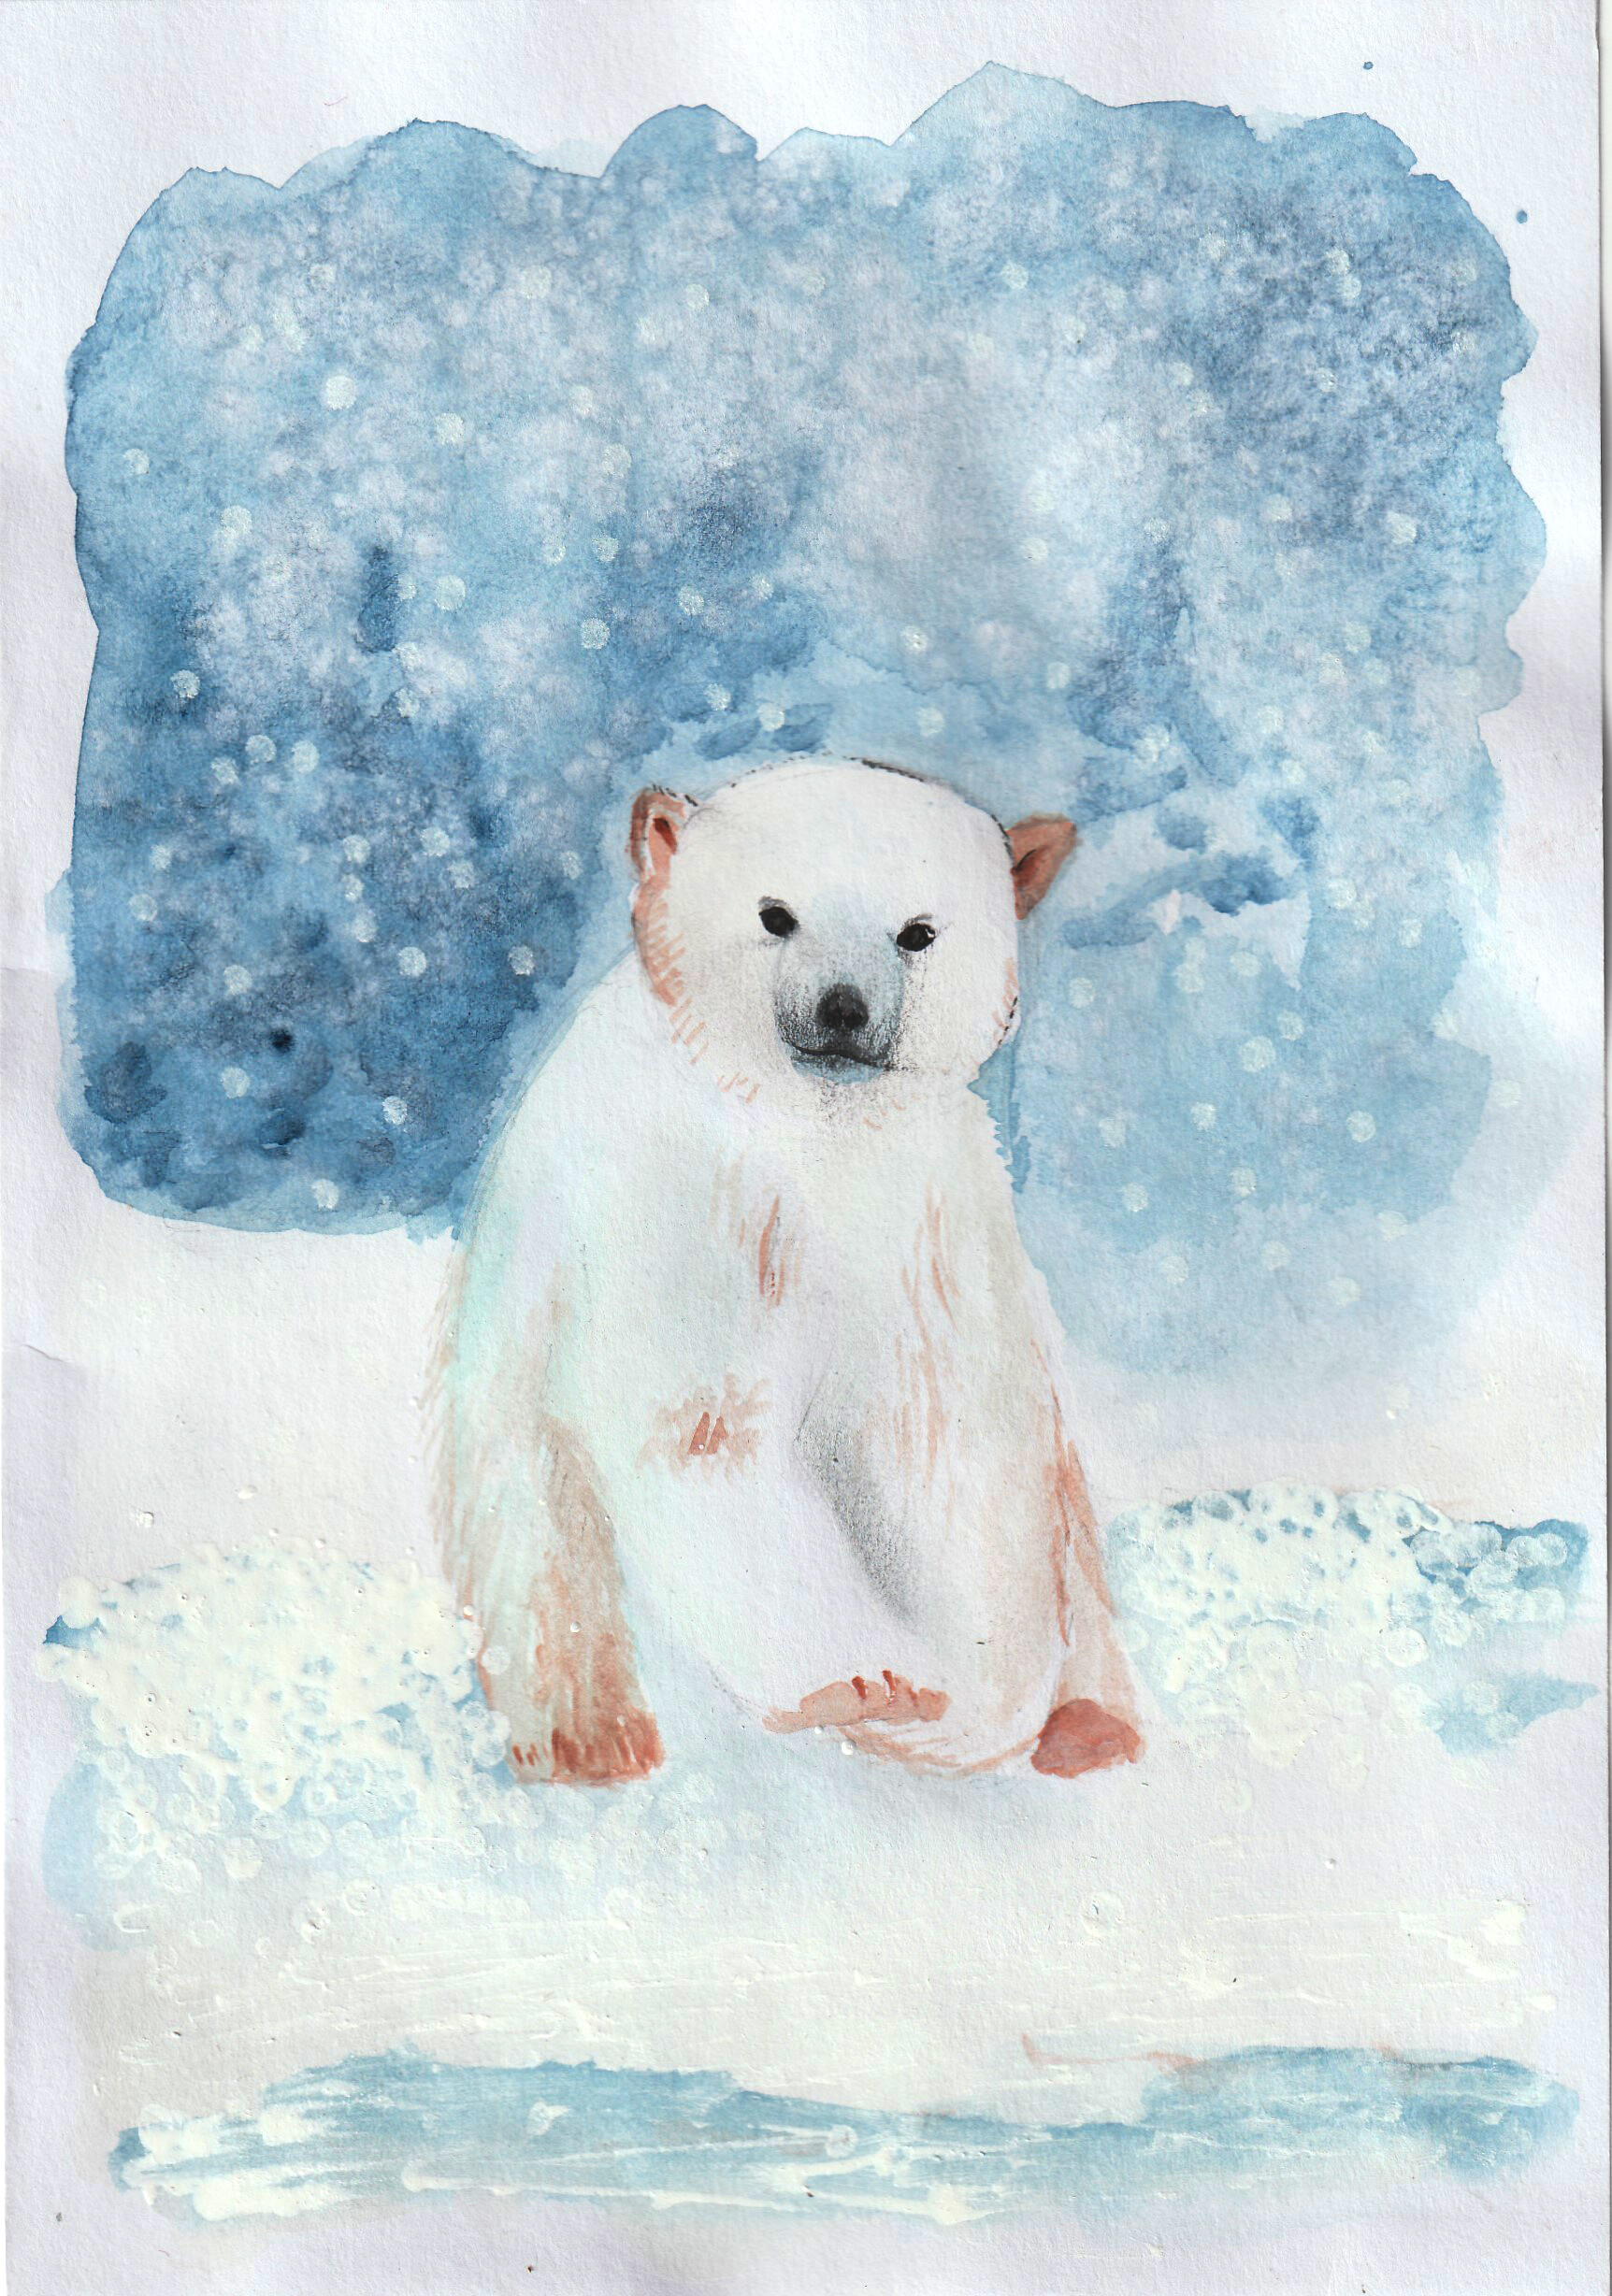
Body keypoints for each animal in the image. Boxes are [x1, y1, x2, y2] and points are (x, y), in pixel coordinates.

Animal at [430, 758, 1141, 1784]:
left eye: (917, 931)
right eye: (775, 915)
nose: (842, 1008)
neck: (820, 1134)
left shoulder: (934, 1220)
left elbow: (954, 1443)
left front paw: (970, 1683)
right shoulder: (684, 1192)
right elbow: (702, 1421)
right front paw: (871, 1680)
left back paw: (1093, 1725)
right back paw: (593, 1742)